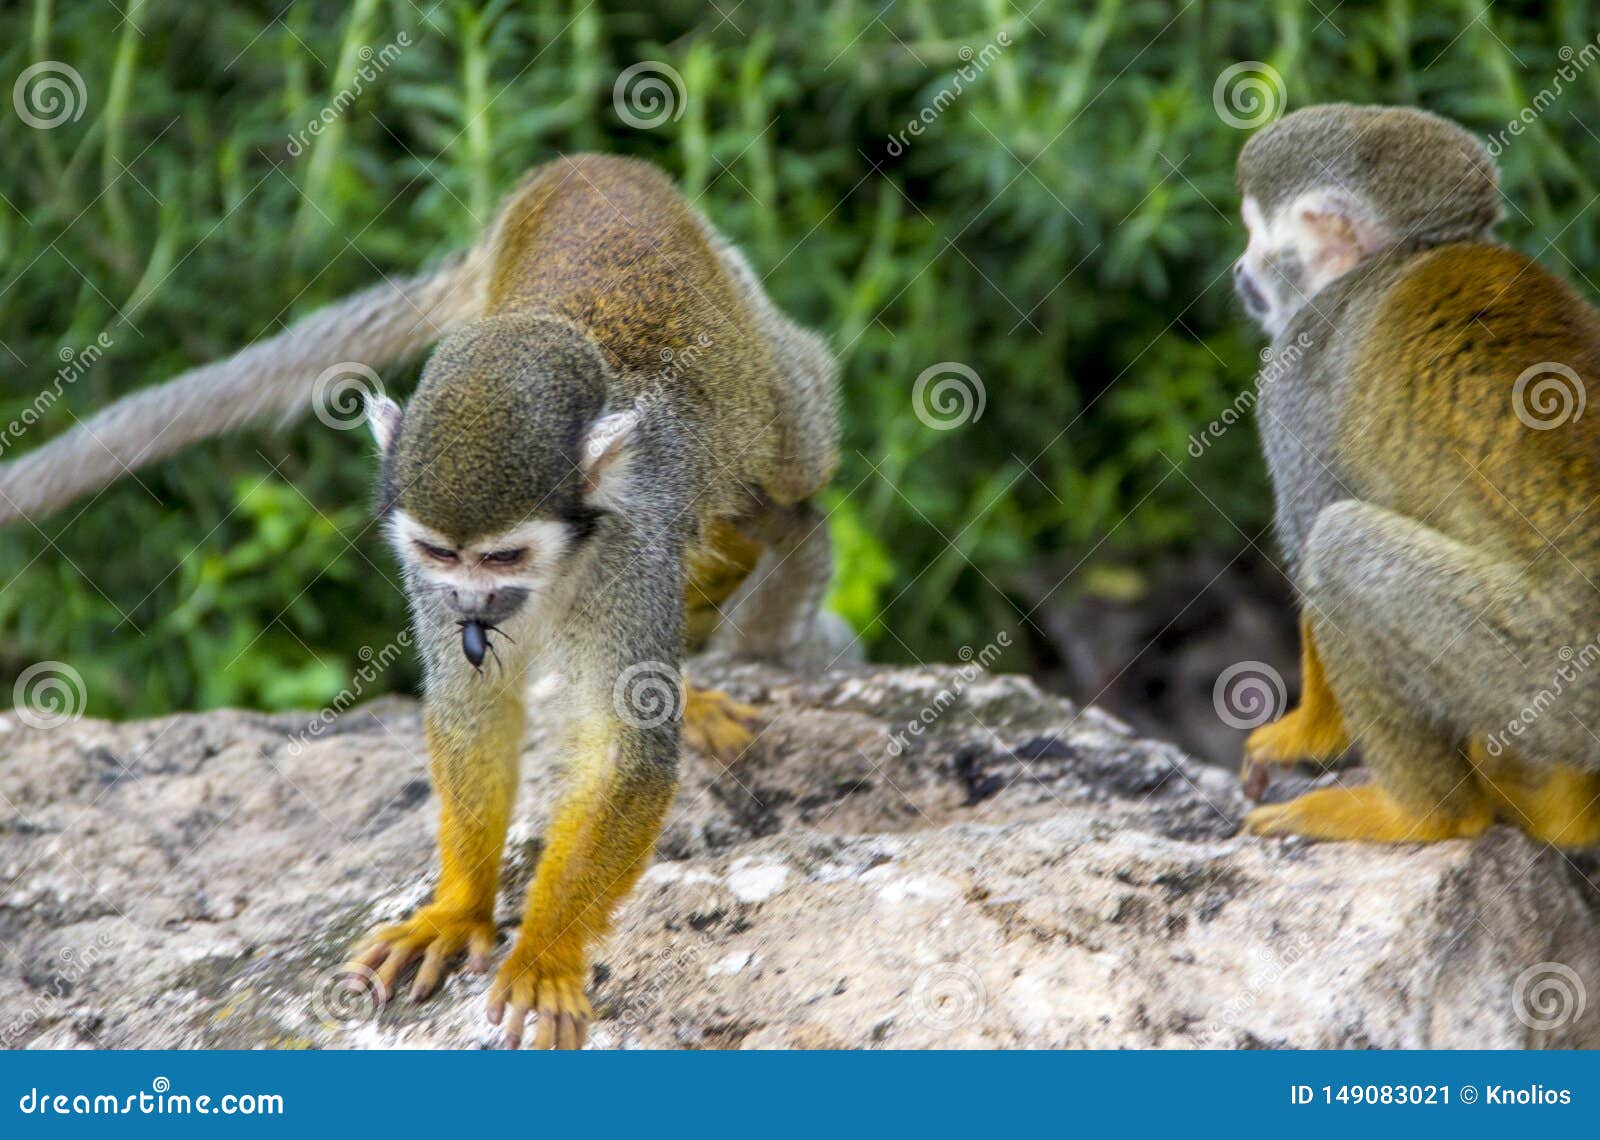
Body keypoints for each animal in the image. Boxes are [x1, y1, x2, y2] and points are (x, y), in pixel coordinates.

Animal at [0, 153, 841, 1046]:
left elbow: (629, 741)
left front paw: (543, 953)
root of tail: (584, 167)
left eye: (504, 555)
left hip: (768, 361)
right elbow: (474, 710)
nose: (470, 606)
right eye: (443, 554)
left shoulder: (632, 545)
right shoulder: (419, 567)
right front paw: (460, 910)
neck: (562, 563)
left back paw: (768, 550)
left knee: (795, 469)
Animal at [1230, 102, 1600, 849]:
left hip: (1551, 667)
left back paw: (1425, 814)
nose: (1238, 270)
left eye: (1255, 235)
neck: (1401, 257)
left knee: (1339, 546)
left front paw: (1301, 734)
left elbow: (1313, 522)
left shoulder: (1298, 371)